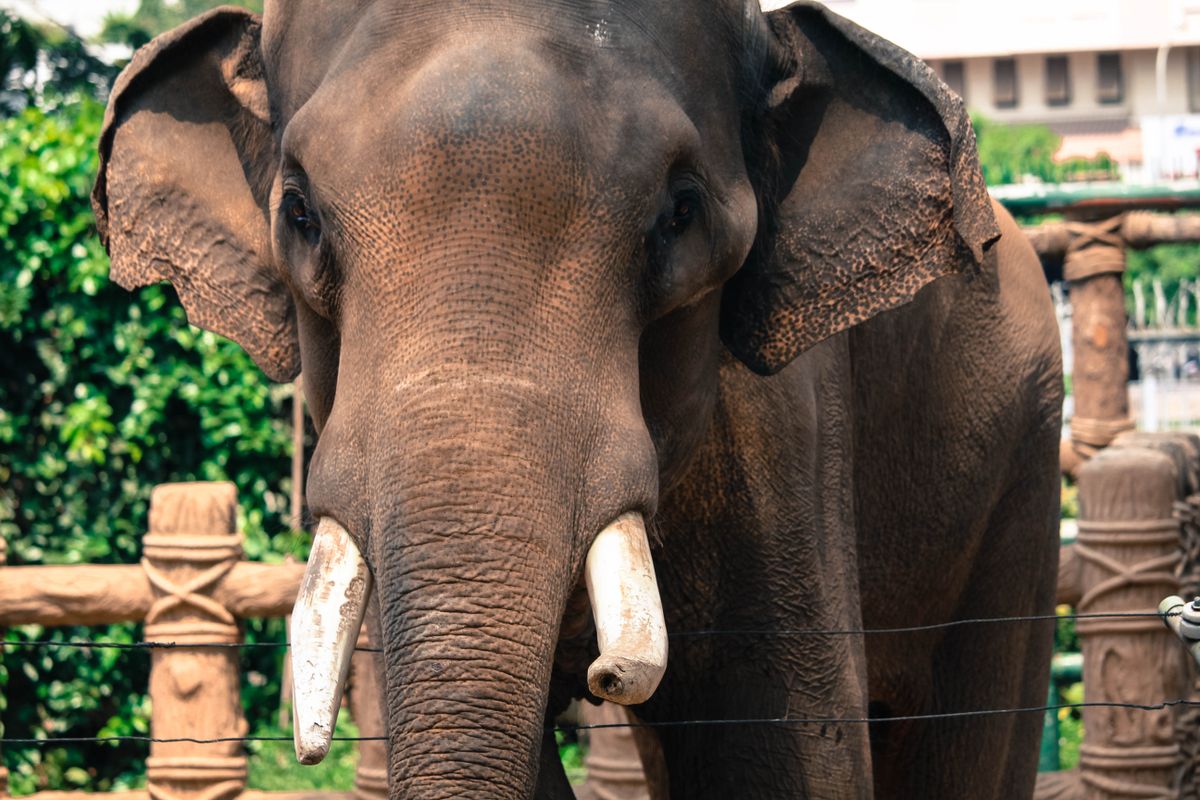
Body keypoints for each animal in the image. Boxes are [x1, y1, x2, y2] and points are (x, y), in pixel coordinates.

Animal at [92, 0, 1063, 797]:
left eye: (679, 213)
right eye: (298, 213)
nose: (598, 678)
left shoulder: (785, 443)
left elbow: (776, 759)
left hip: (1023, 452)